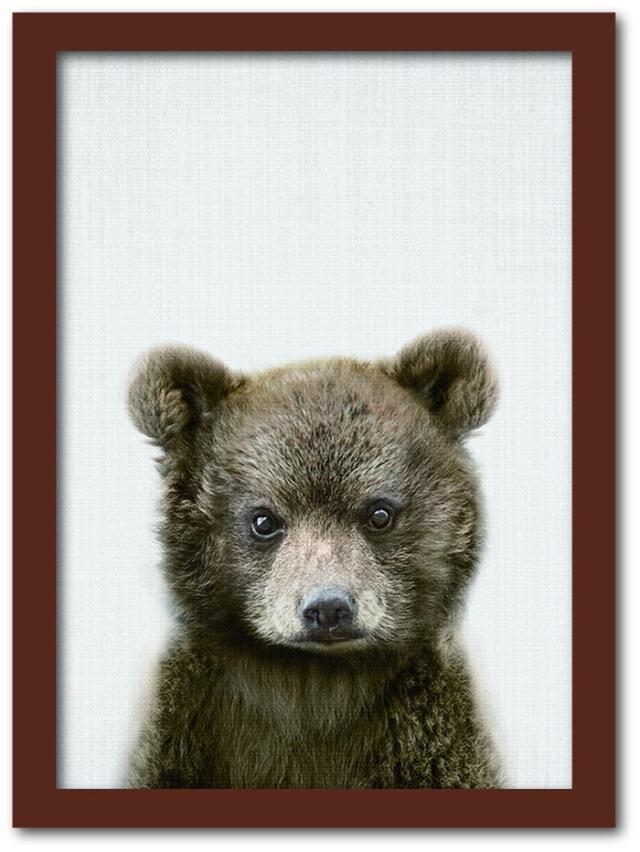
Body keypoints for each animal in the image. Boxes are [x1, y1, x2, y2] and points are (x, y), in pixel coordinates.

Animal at [126, 328, 503, 789]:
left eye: (379, 513)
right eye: (264, 520)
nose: (327, 608)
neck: (312, 683)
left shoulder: (430, 738)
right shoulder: (184, 730)